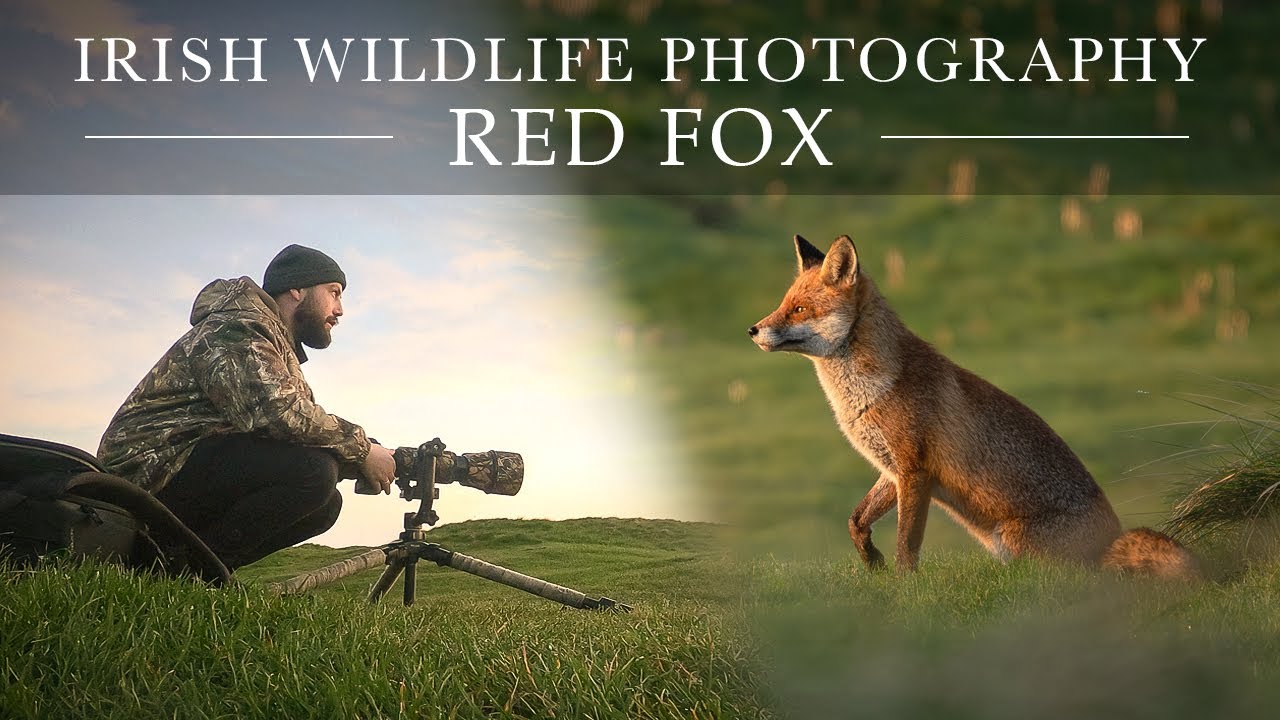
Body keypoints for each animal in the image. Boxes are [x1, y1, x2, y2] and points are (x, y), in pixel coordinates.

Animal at [748, 234, 1199, 579]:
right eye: (783, 303)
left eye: (800, 309)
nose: (752, 329)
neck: (874, 389)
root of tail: (1111, 538)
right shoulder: (892, 470)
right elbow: (856, 521)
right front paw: (872, 565)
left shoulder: (916, 471)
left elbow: (907, 544)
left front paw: (903, 587)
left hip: (1021, 546)